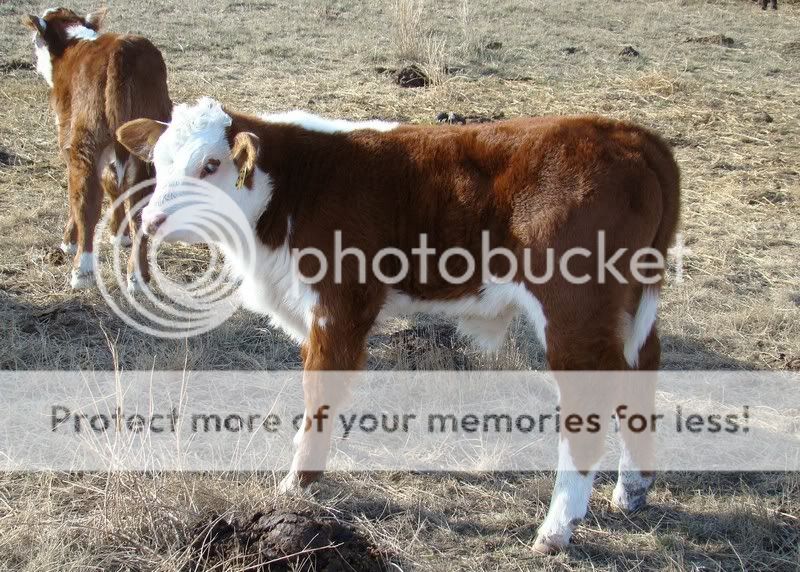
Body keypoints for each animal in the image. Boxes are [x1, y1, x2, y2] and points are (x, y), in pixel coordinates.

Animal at [23, 7, 171, 290]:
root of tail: (123, 50)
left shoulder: (66, 137)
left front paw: (69, 241)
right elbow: (113, 184)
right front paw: (119, 234)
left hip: (86, 142)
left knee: (86, 199)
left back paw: (82, 270)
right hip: (148, 143)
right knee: (139, 203)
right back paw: (137, 275)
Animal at [116, 98, 680, 553]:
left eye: (210, 165)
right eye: (159, 163)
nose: (152, 220)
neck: (293, 190)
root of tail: (625, 132)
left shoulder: (340, 306)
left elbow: (320, 392)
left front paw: (298, 483)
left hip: (573, 309)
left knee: (590, 403)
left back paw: (557, 528)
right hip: (630, 306)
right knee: (642, 370)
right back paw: (633, 487)